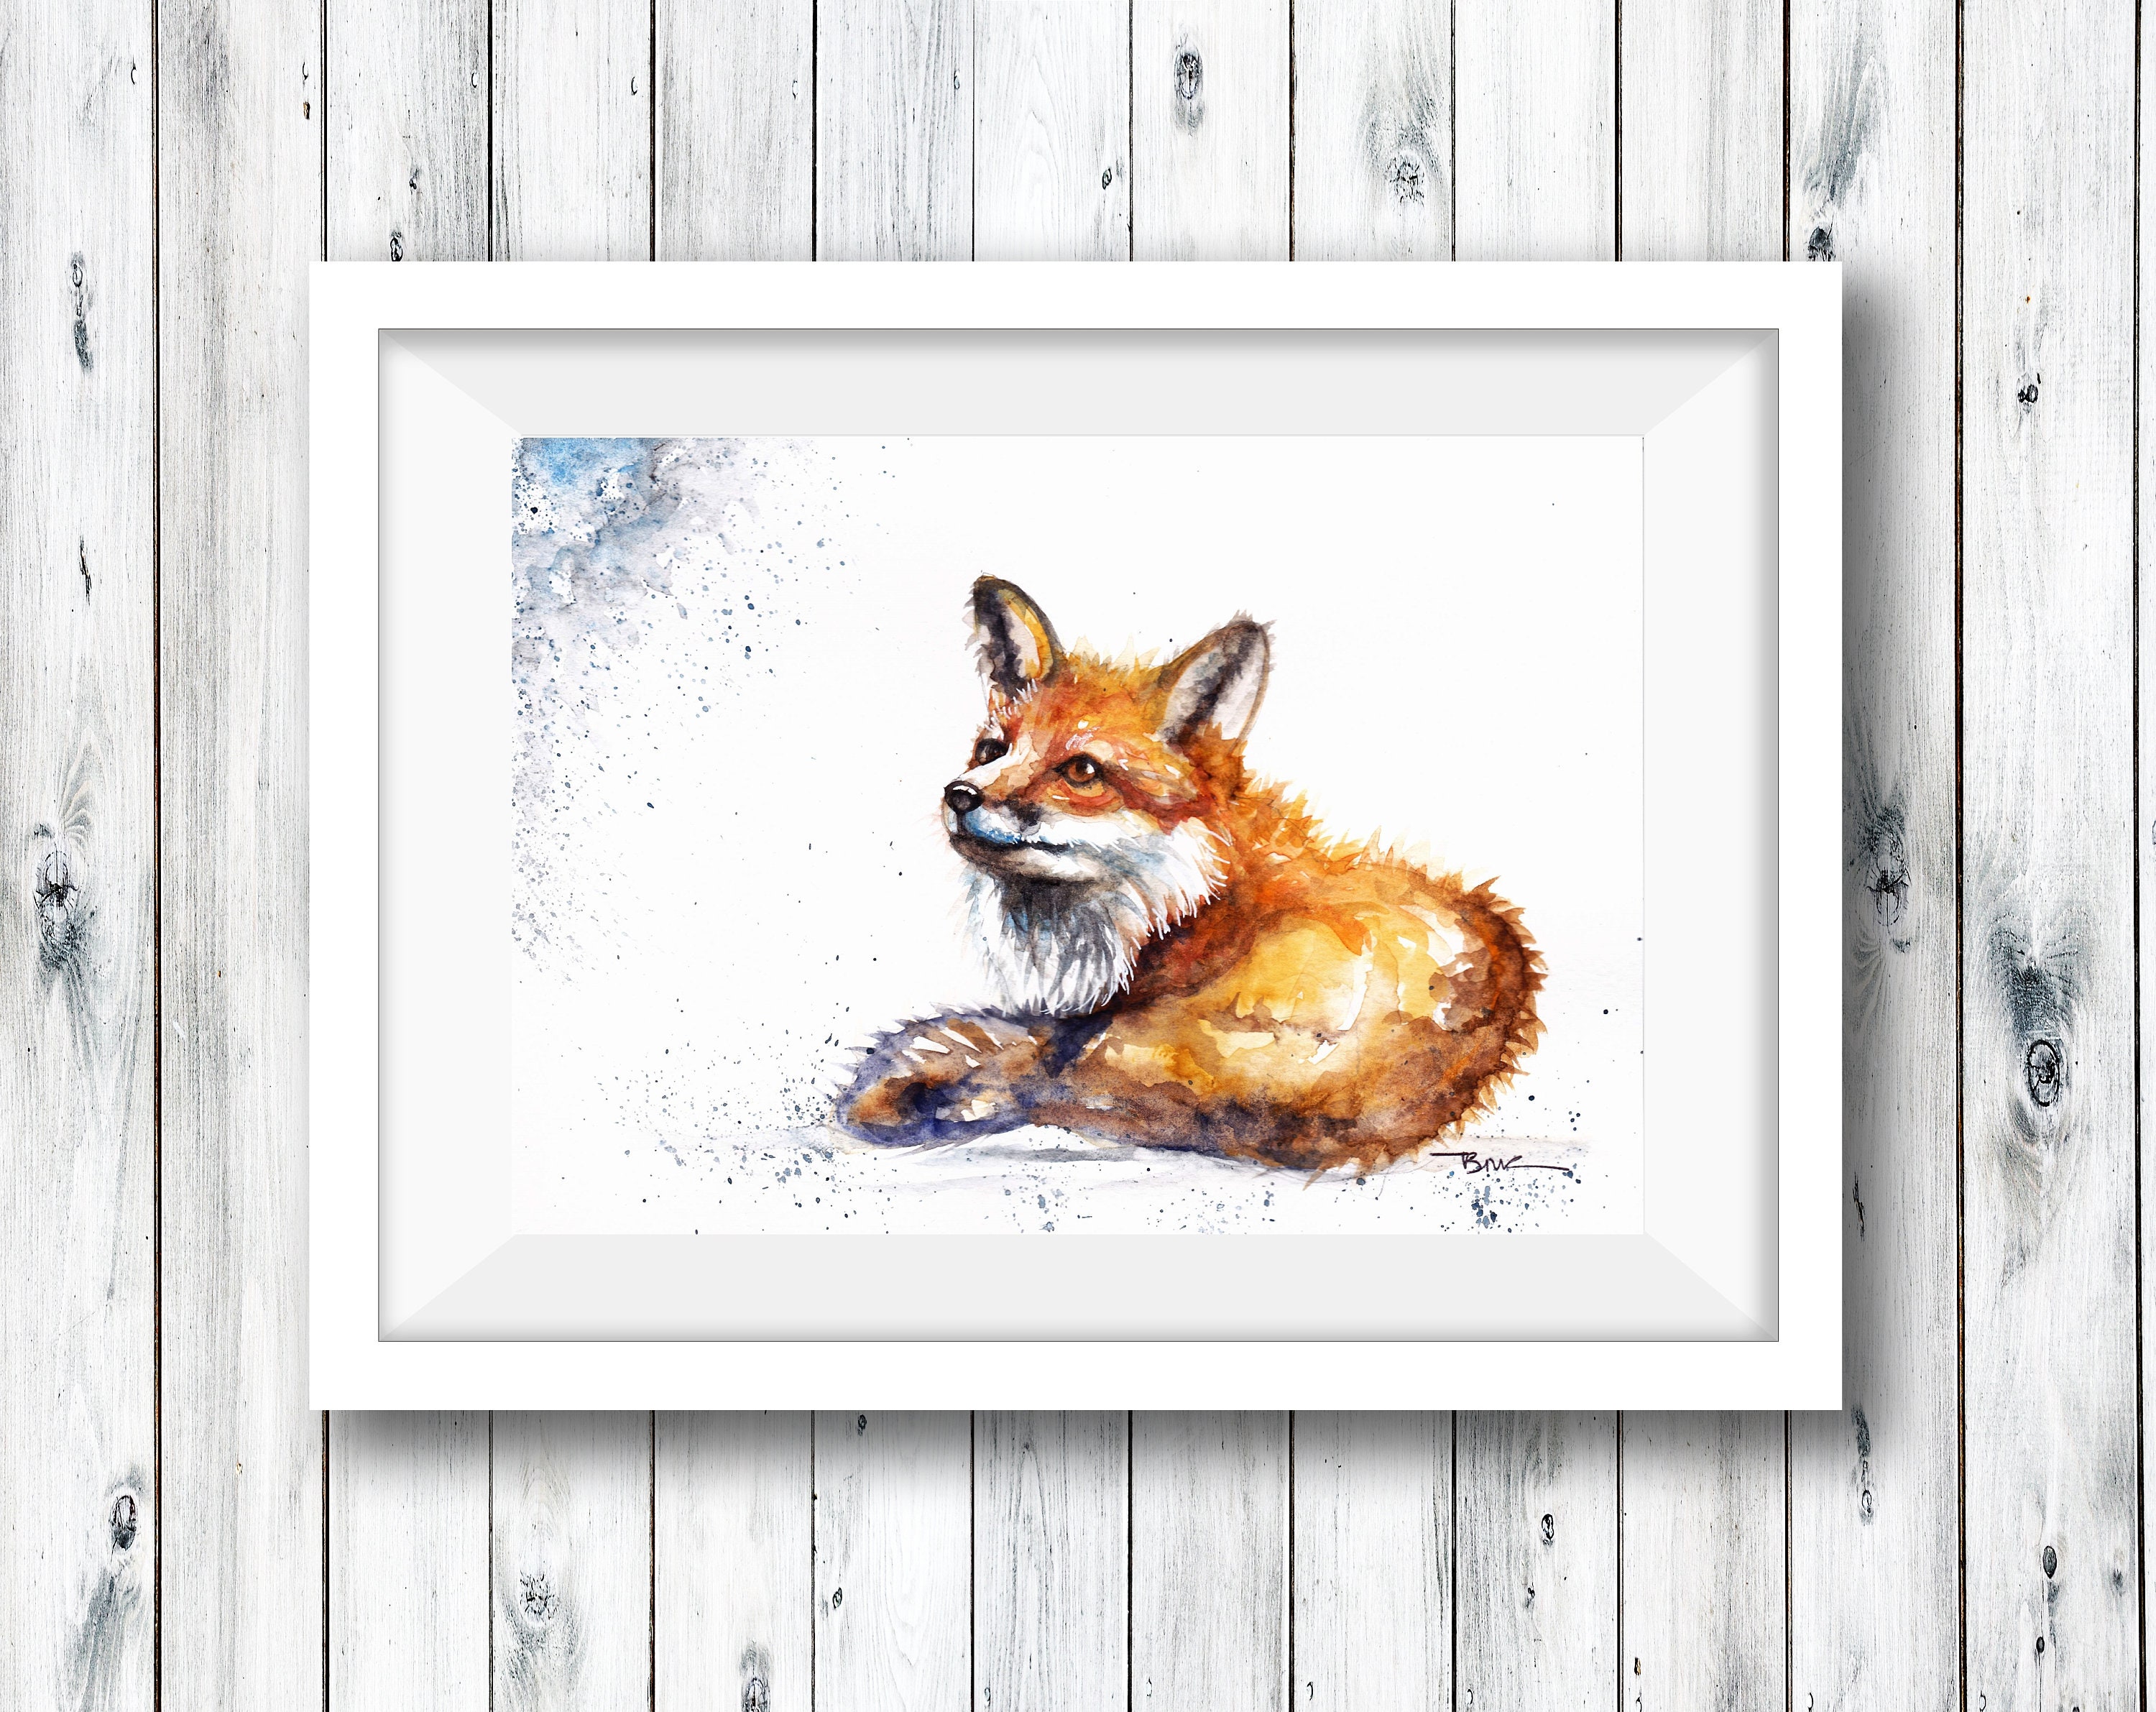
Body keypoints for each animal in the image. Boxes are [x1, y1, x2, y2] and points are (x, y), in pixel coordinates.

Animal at [838, 577, 1543, 1172]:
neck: (1197, 903)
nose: (960, 795)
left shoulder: (1104, 1031)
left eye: (1082, 770)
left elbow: (1022, 1057)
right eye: (992, 750)